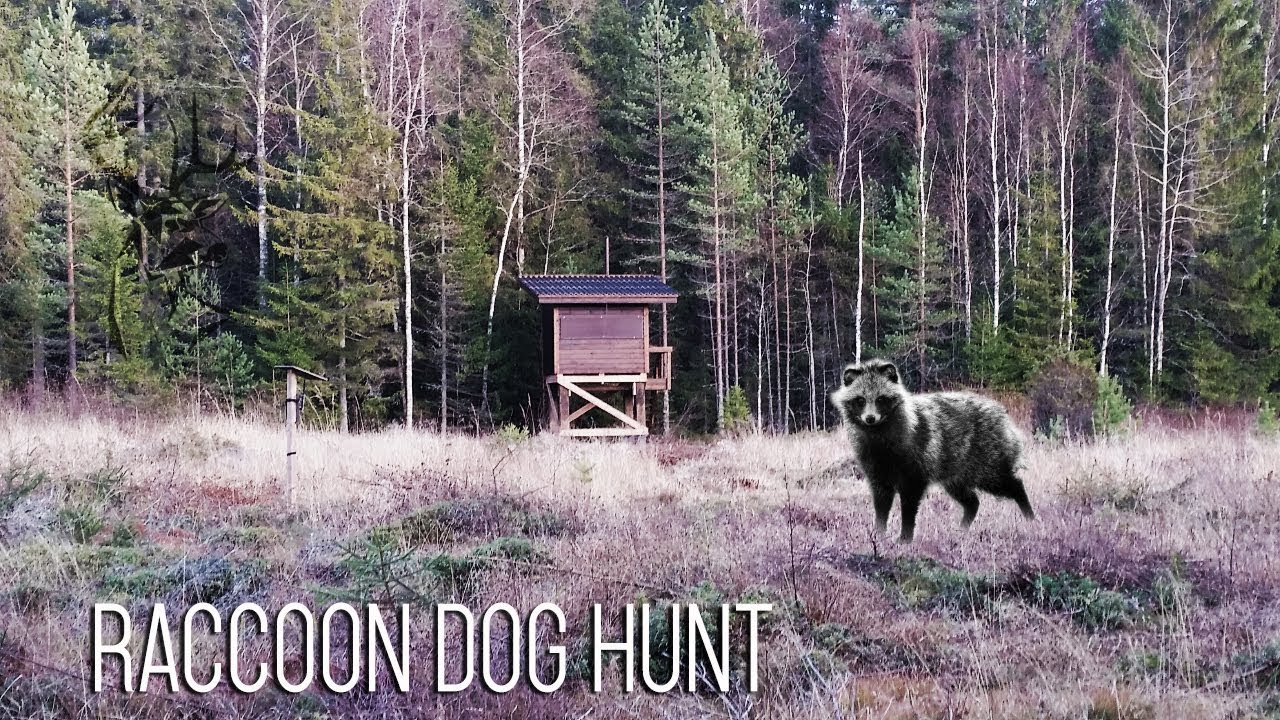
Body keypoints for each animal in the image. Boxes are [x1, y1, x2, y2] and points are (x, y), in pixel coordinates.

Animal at [829, 358, 1035, 543]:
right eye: (860, 400)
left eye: (881, 399)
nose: (870, 418)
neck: (878, 434)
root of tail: (1001, 414)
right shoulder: (877, 472)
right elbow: (881, 506)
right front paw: (879, 535)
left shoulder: (914, 470)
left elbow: (909, 506)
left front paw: (905, 537)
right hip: (955, 474)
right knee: (972, 501)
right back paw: (962, 529)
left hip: (986, 464)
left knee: (1012, 484)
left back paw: (1029, 515)